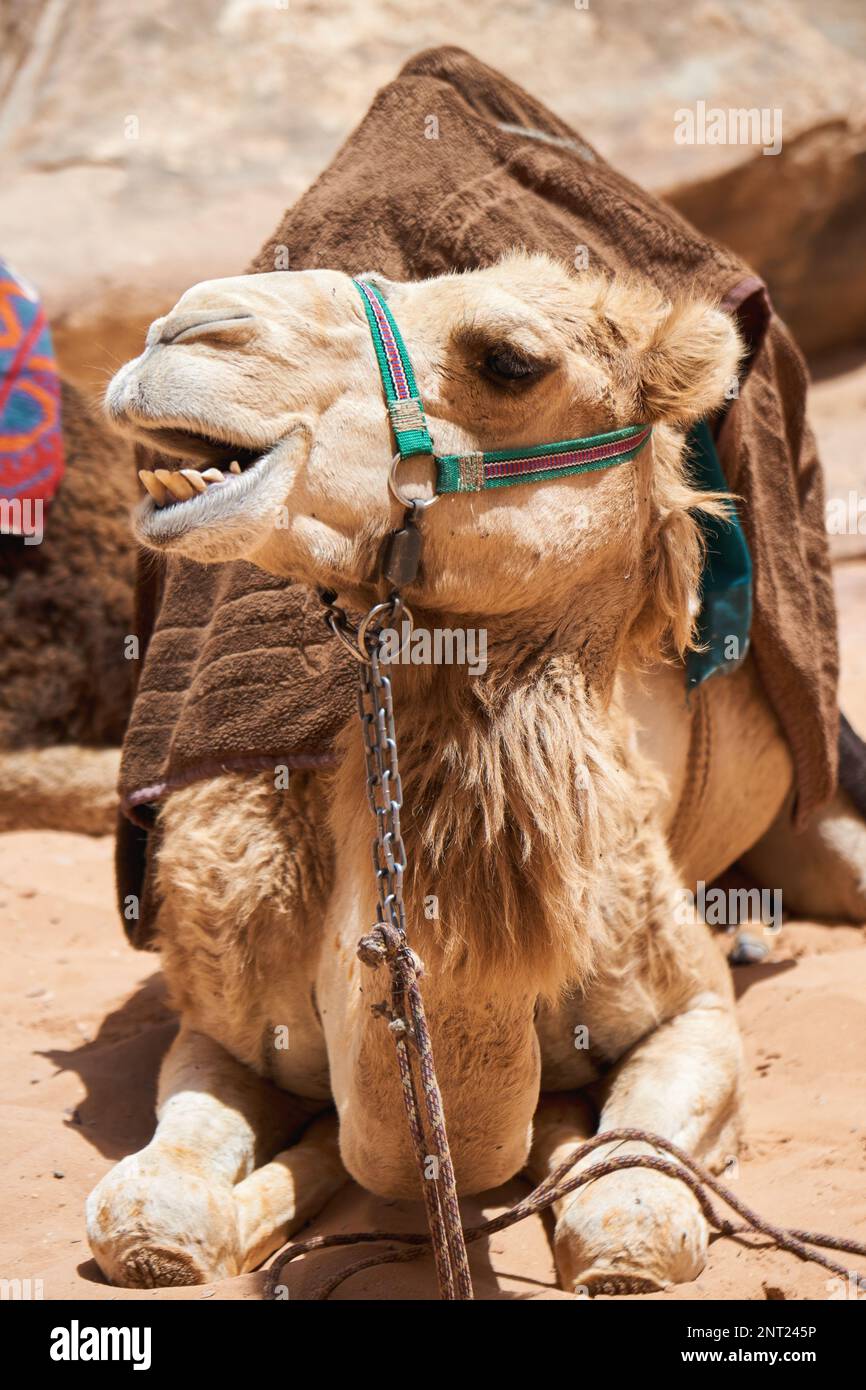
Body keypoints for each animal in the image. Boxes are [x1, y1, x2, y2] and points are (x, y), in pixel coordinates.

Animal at [87, 253, 866, 1295]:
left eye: (509, 359)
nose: (184, 328)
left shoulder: (692, 1008)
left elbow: (631, 1213)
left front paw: (570, 1148)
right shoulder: (217, 1023)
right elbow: (151, 1211)